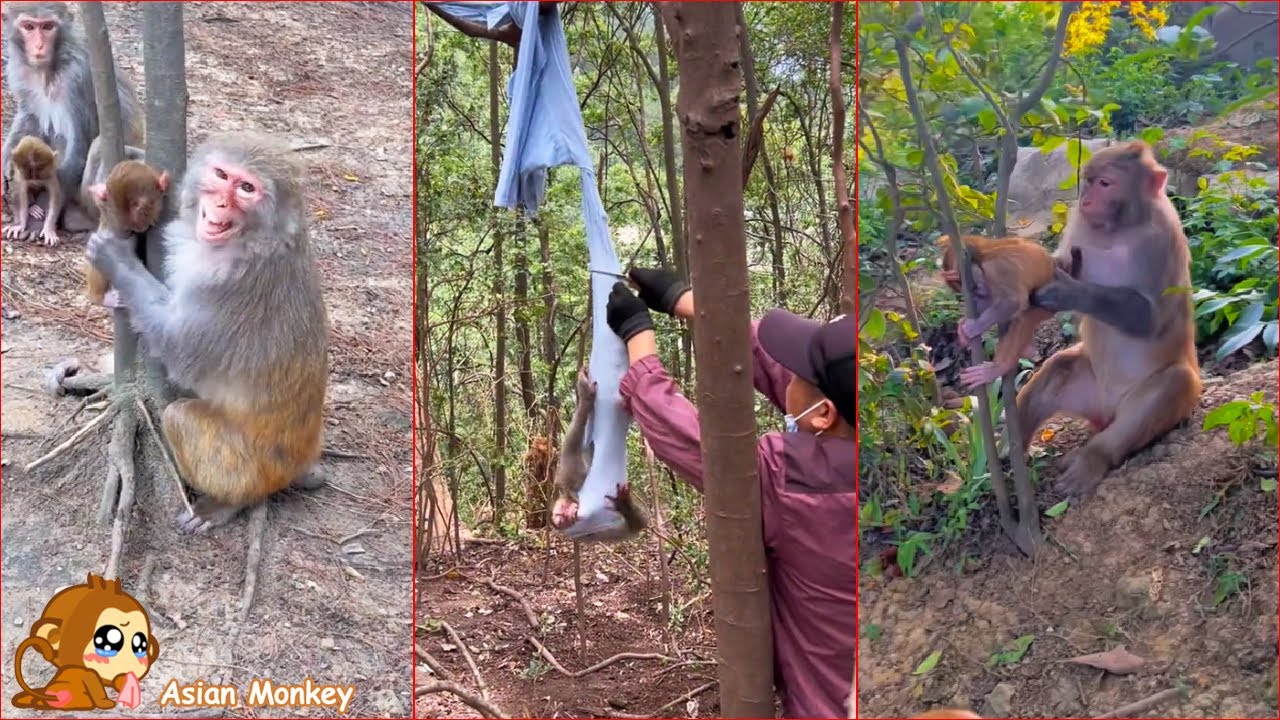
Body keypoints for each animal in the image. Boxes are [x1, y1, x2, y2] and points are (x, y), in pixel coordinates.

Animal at [2, 2, 144, 234]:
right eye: (29, 26)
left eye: (48, 26)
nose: (39, 46)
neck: (50, 68)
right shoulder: (19, 70)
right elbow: (29, 117)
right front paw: (4, 168)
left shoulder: (79, 80)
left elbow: (78, 149)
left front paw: (39, 219)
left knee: (98, 146)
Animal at [548, 366, 649, 541]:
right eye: (564, 520)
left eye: (561, 515)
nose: (565, 518)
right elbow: (635, 527)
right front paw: (624, 506)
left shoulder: (567, 481)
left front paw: (584, 396)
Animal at [939, 235, 1081, 388]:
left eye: (975, 287)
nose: (980, 290)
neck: (982, 255)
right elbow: (989, 301)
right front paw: (964, 324)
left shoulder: (995, 269)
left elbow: (1012, 301)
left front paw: (974, 327)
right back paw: (1027, 349)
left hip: (1049, 302)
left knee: (1024, 317)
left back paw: (1000, 367)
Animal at [1019, 140, 1202, 498]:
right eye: (1088, 181)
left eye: (1105, 183)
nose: (1086, 200)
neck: (1119, 228)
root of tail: (1105, 412)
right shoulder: (1079, 222)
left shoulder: (1161, 238)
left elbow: (1148, 318)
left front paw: (1069, 290)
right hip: (1089, 391)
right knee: (1059, 366)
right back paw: (1011, 446)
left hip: (1147, 404)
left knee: (1173, 383)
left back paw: (1094, 457)